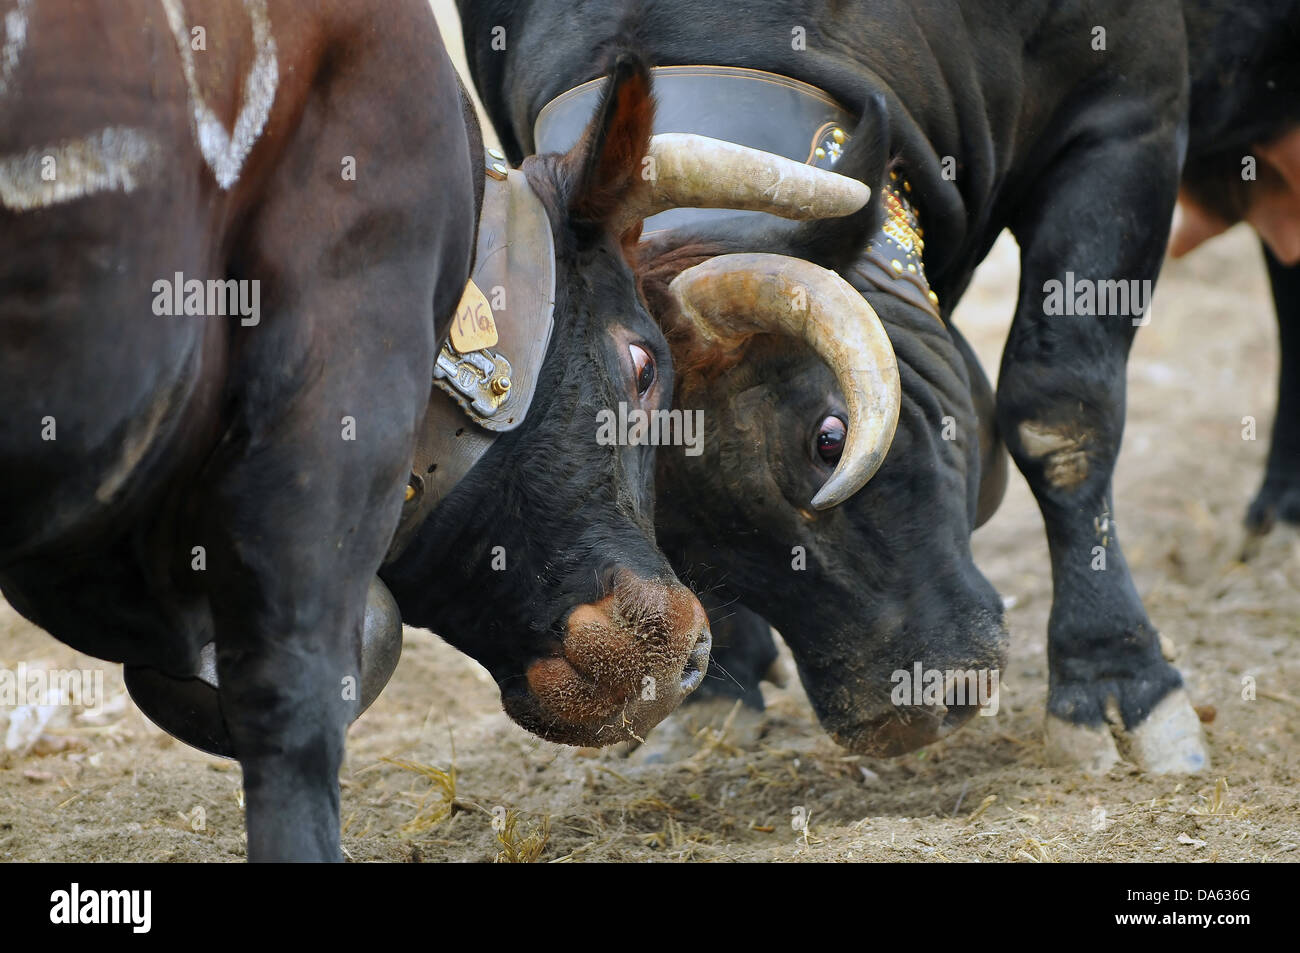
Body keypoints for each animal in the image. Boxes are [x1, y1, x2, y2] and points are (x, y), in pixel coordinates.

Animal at [458, 0, 1214, 773]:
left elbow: (1059, 413)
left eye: (830, 439)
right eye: (664, 519)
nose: (906, 714)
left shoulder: (1127, 111)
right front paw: (719, 692)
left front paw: (1116, 677)